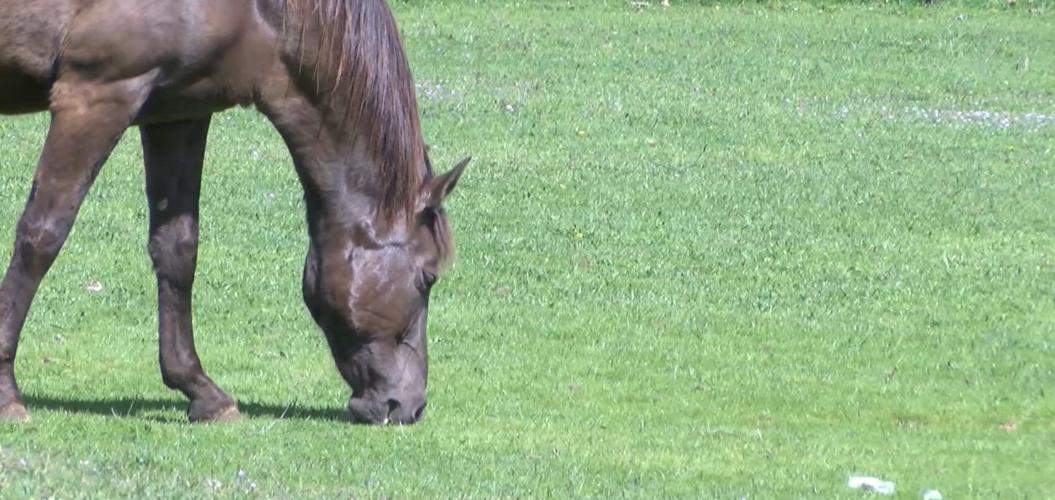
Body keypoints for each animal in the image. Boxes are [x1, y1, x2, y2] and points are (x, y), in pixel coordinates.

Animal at [0, 0, 469, 425]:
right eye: (428, 277)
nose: (408, 406)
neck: (263, 11)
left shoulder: (177, 111)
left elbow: (177, 250)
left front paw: (201, 391)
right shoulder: (96, 95)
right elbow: (41, 236)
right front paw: (7, 393)